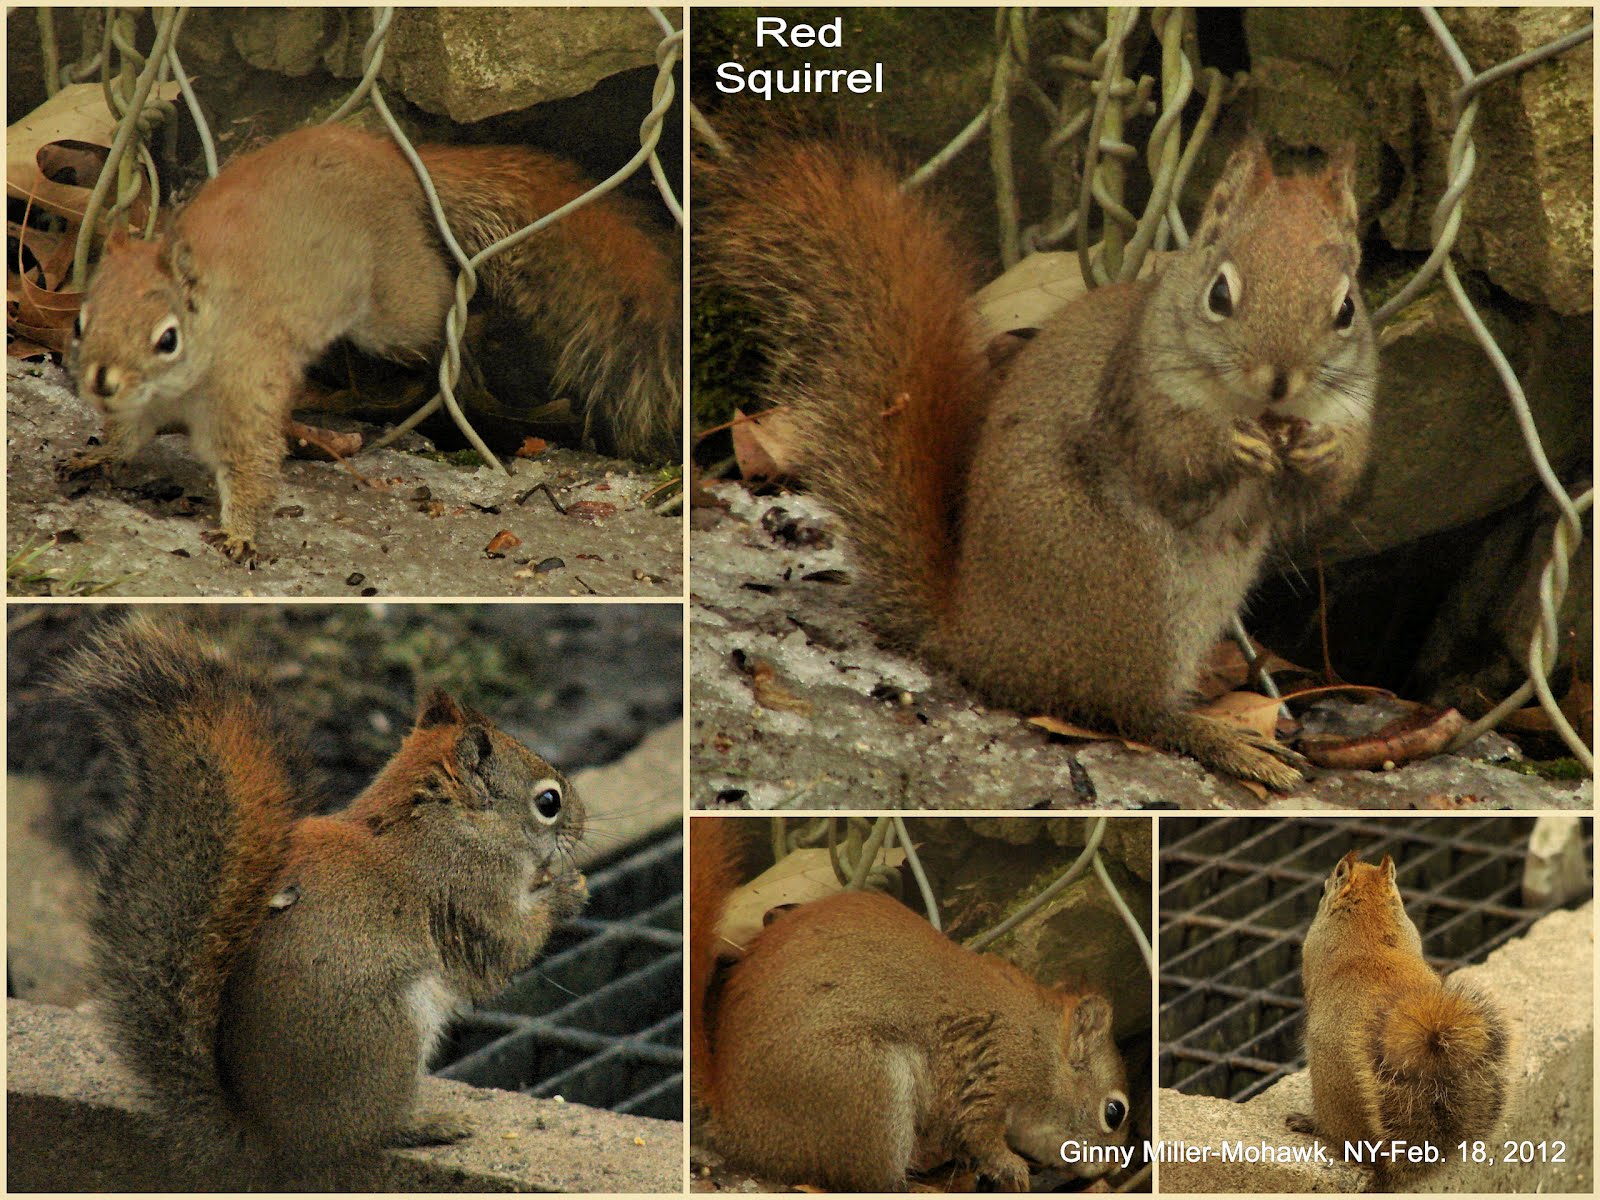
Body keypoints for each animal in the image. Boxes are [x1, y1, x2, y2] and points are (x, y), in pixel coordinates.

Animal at [55, 616, 588, 1183]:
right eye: (548, 802)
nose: (581, 824)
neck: (443, 819)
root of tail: (270, 1136)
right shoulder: (470, 890)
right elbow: (506, 945)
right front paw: (565, 891)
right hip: (386, 1038)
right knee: (366, 1131)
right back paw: (426, 1125)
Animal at [66, 123, 680, 563]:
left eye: (168, 338)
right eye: (80, 322)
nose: (101, 383)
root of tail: (389, 156)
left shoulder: (250, 392)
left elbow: (251, 470)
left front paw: (241, 535)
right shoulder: (139, 407)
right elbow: (125, 436)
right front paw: (95, 457)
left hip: (395, 304)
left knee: (438, 300)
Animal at [689, 819, 1130, 1192]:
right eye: (1114, 1112)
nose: (1112, 1169)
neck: (1041, 1046)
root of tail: (737, 1124)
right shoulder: (989, 1075)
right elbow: (980, 1136)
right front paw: (1013, 1168)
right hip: (867, 1089)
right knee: (871, 1178)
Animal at [696, 134, 1378, 790]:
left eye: (1347, 309)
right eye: (1219, 294)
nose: (1280, 380)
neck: (1255, 408)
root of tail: (977, 638)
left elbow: (1327, 486)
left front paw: (1321, 451)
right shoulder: (1135, 395)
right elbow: (1169, 457)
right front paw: (1229, 446)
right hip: (1123, 591)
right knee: (1130, 711)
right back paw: (1220, 738)